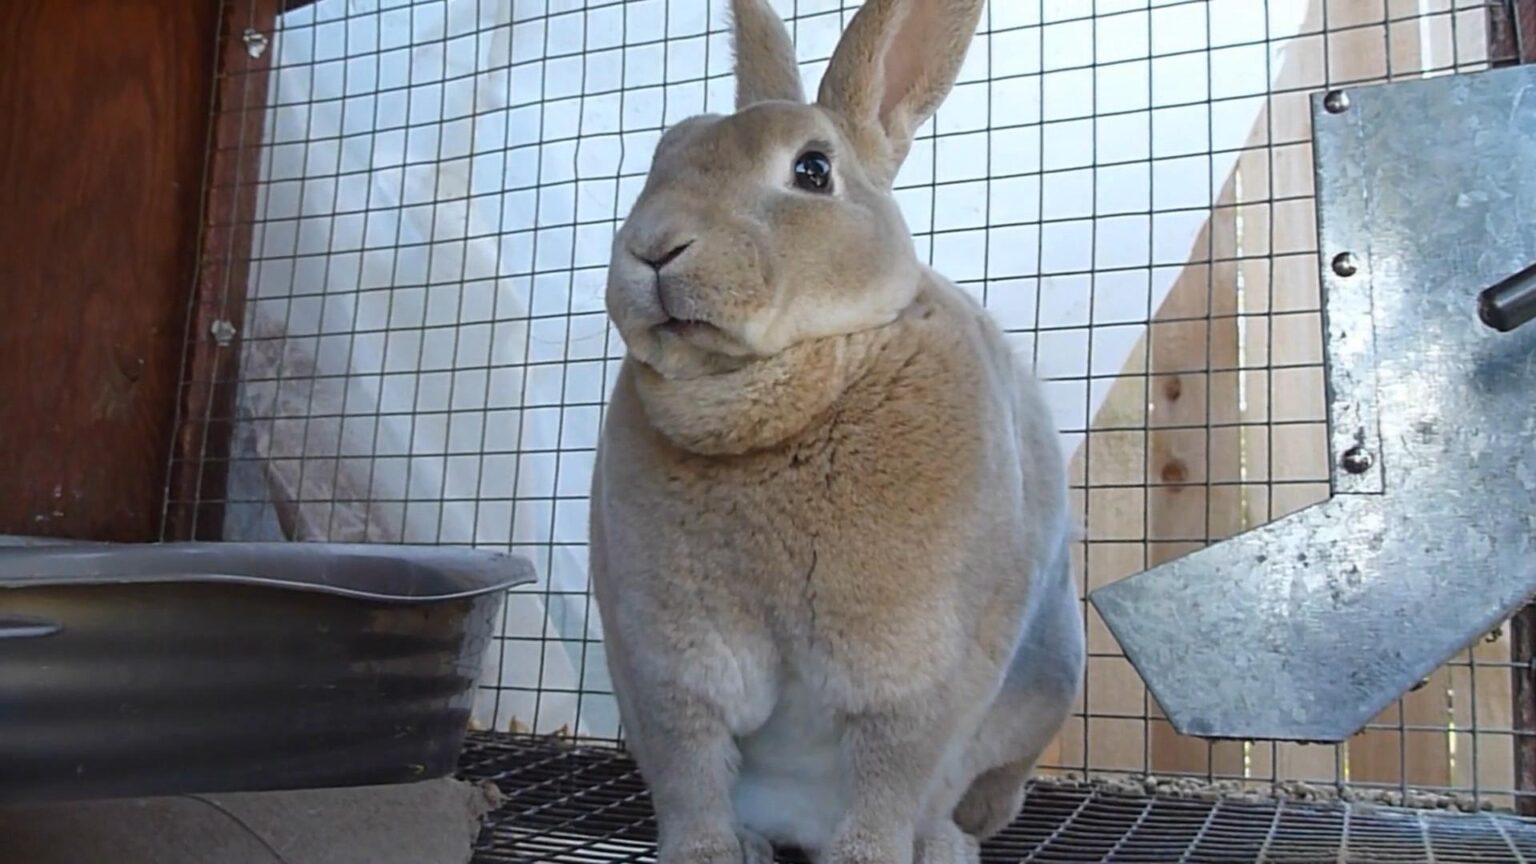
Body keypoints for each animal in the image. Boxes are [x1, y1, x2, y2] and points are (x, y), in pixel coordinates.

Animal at [588, 0, 1086, 862]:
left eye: (813, 170)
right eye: (663, 156)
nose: (651, 249)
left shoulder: (910, 670)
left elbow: (889, 775)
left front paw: (867, 857)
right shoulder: (667, 660)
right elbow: (691, 768)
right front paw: (706, 853)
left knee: (961, 795)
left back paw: (944, 844)